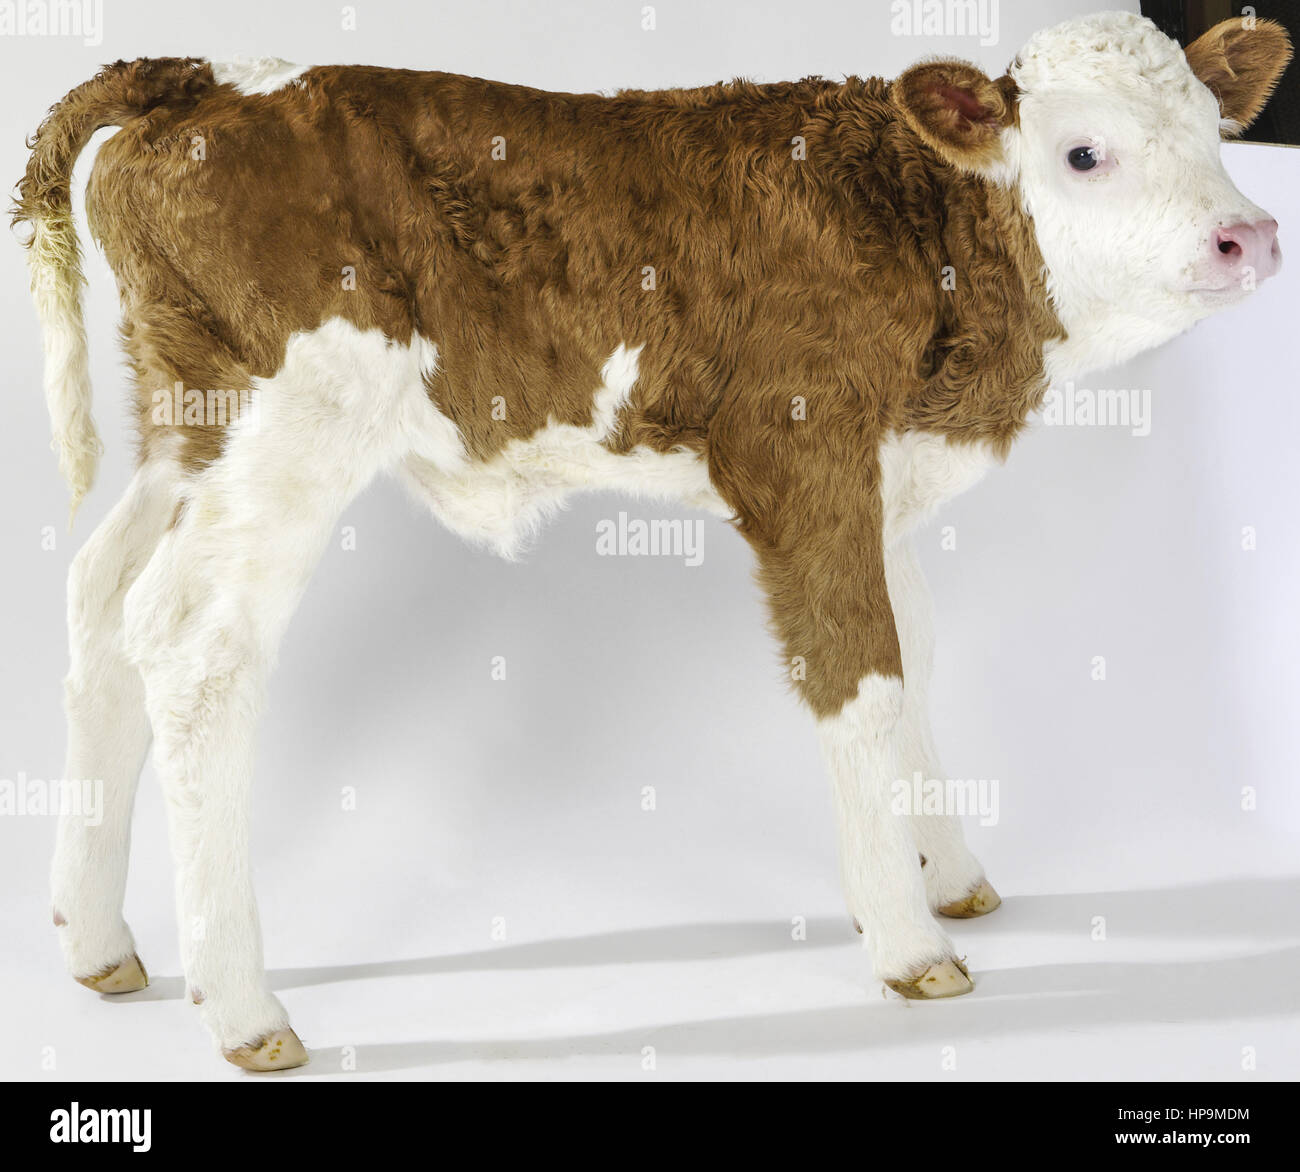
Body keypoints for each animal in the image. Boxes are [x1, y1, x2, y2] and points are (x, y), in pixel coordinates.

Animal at [13, 11, 1291, 1070]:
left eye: (1211, 129)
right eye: (1083, 154)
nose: (1249, 235)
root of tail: (198, 76)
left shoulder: (877, 478)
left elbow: (912, 653)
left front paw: (949, 872)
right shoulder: (798, 451)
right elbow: (859, 672)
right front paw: (906, 938)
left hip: (188, 424)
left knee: (99, 602)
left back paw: (94, 941)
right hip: (293, 420)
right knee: (192, 645)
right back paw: (244, 1010)